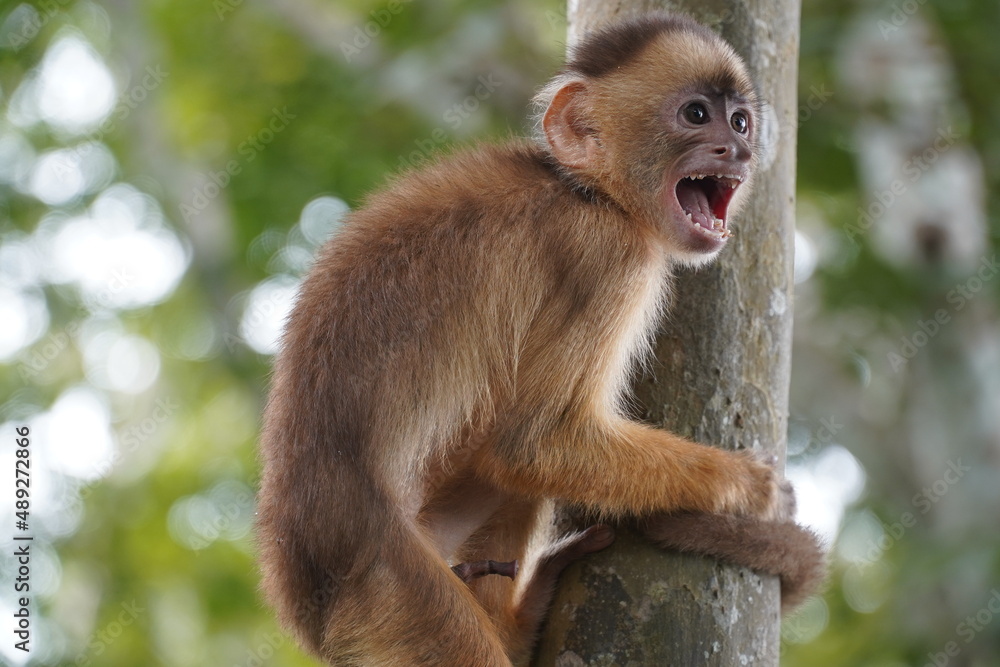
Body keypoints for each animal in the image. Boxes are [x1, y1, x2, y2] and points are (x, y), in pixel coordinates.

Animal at [257, 12, 825, 667]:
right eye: (696, 115)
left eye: (739, 121)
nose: (739, 150)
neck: (586, 190)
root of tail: (303, 598)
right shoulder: (608, 256)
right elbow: (532, 442)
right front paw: (746, 488)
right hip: (391, 589)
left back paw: (516, 624)